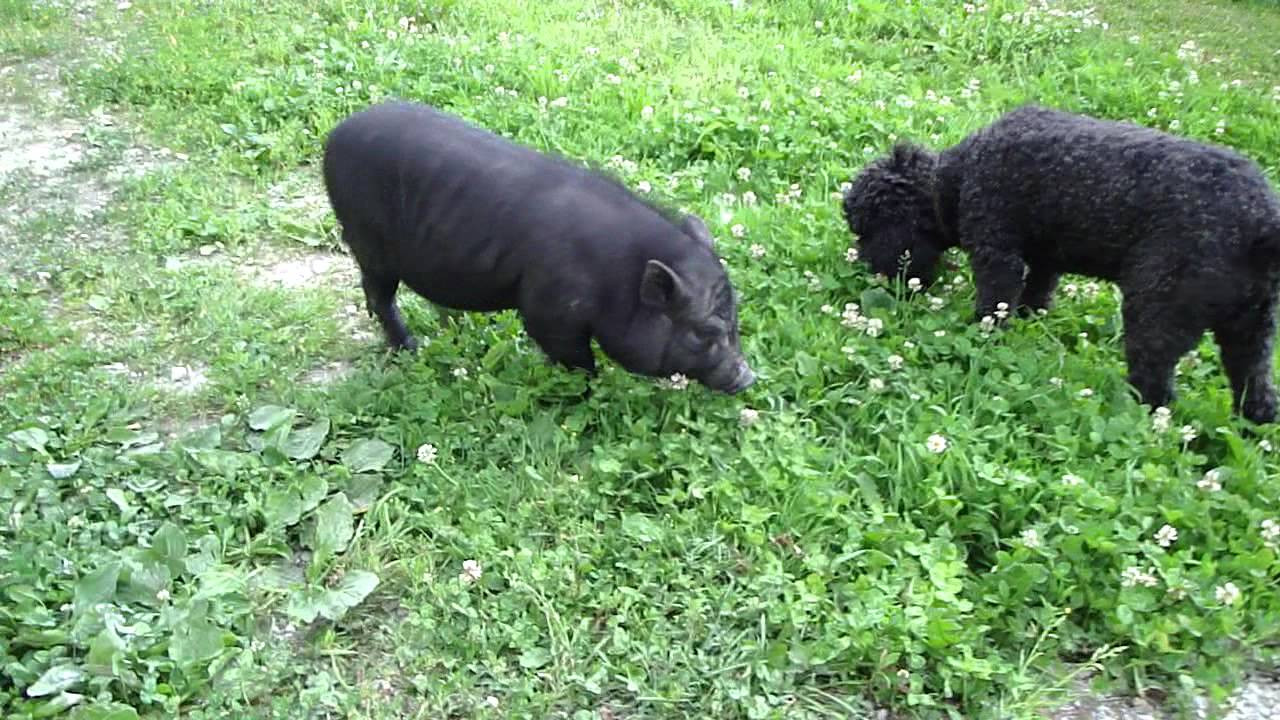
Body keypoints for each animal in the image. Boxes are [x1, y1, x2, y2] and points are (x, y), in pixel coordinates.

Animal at [321, 100, 756, 394]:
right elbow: (578, 362)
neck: (619, 278)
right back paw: (410, 349)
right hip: (366, 240)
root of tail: (335, 134)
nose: (748, 376)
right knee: (378, 296)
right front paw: (586, 393)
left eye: (736, 321)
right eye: (703, 332)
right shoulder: (548, 313)